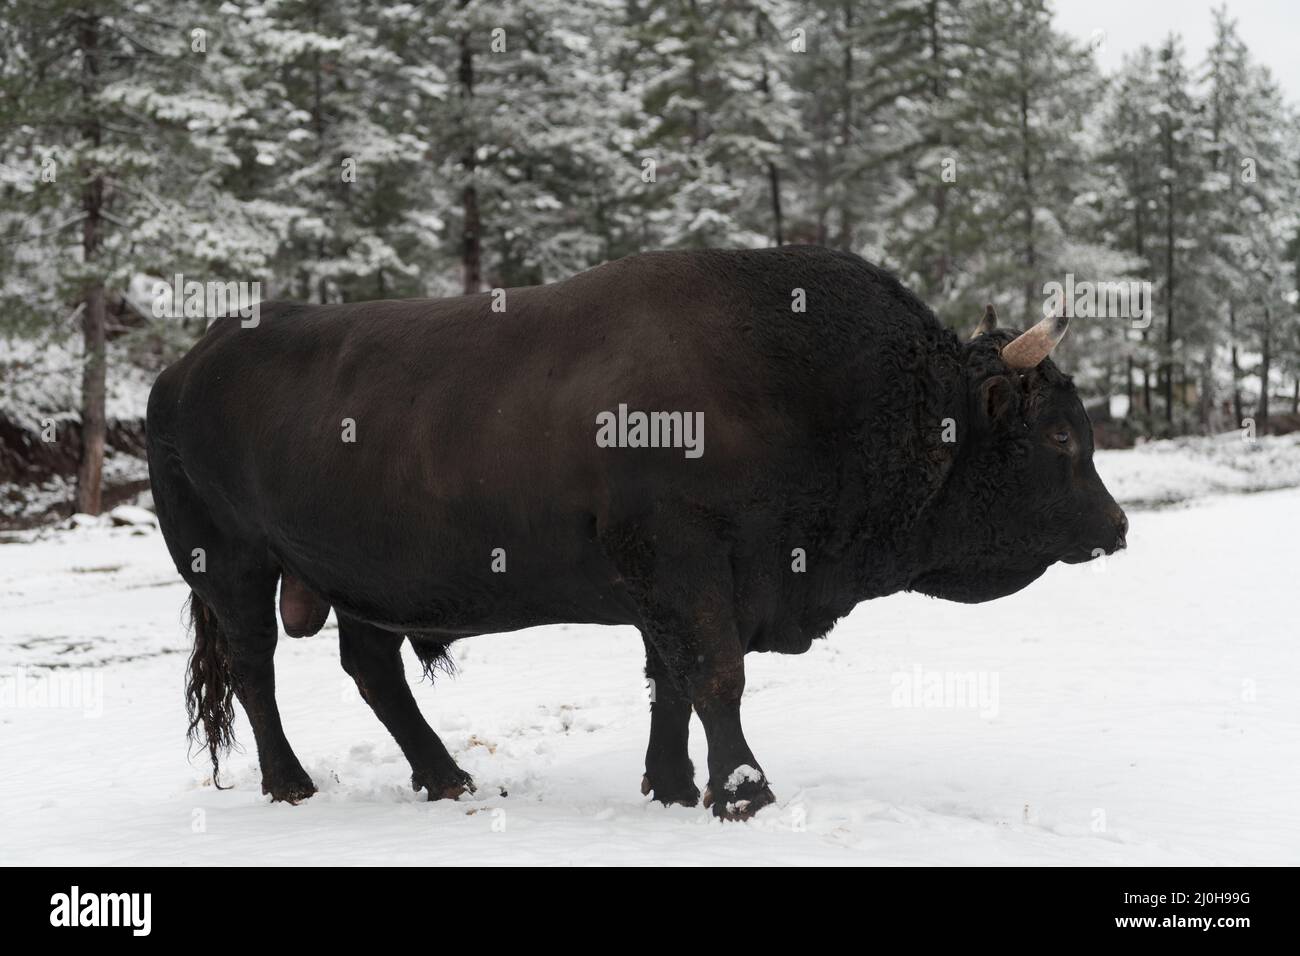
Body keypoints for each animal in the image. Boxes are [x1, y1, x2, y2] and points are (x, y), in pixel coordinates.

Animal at [146, 246, 1127, 820]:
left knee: (373, 672)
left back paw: (446, 776)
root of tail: (182, 367)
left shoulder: (666, 585)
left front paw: (673, 786)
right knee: (257, 671)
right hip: (232, 568)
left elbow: (670, 684)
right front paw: (745, 792)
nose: (1117, 527)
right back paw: (290, 784)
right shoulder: (685, 565)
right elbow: (715, 676)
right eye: (1056, 435)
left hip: (360, 582)